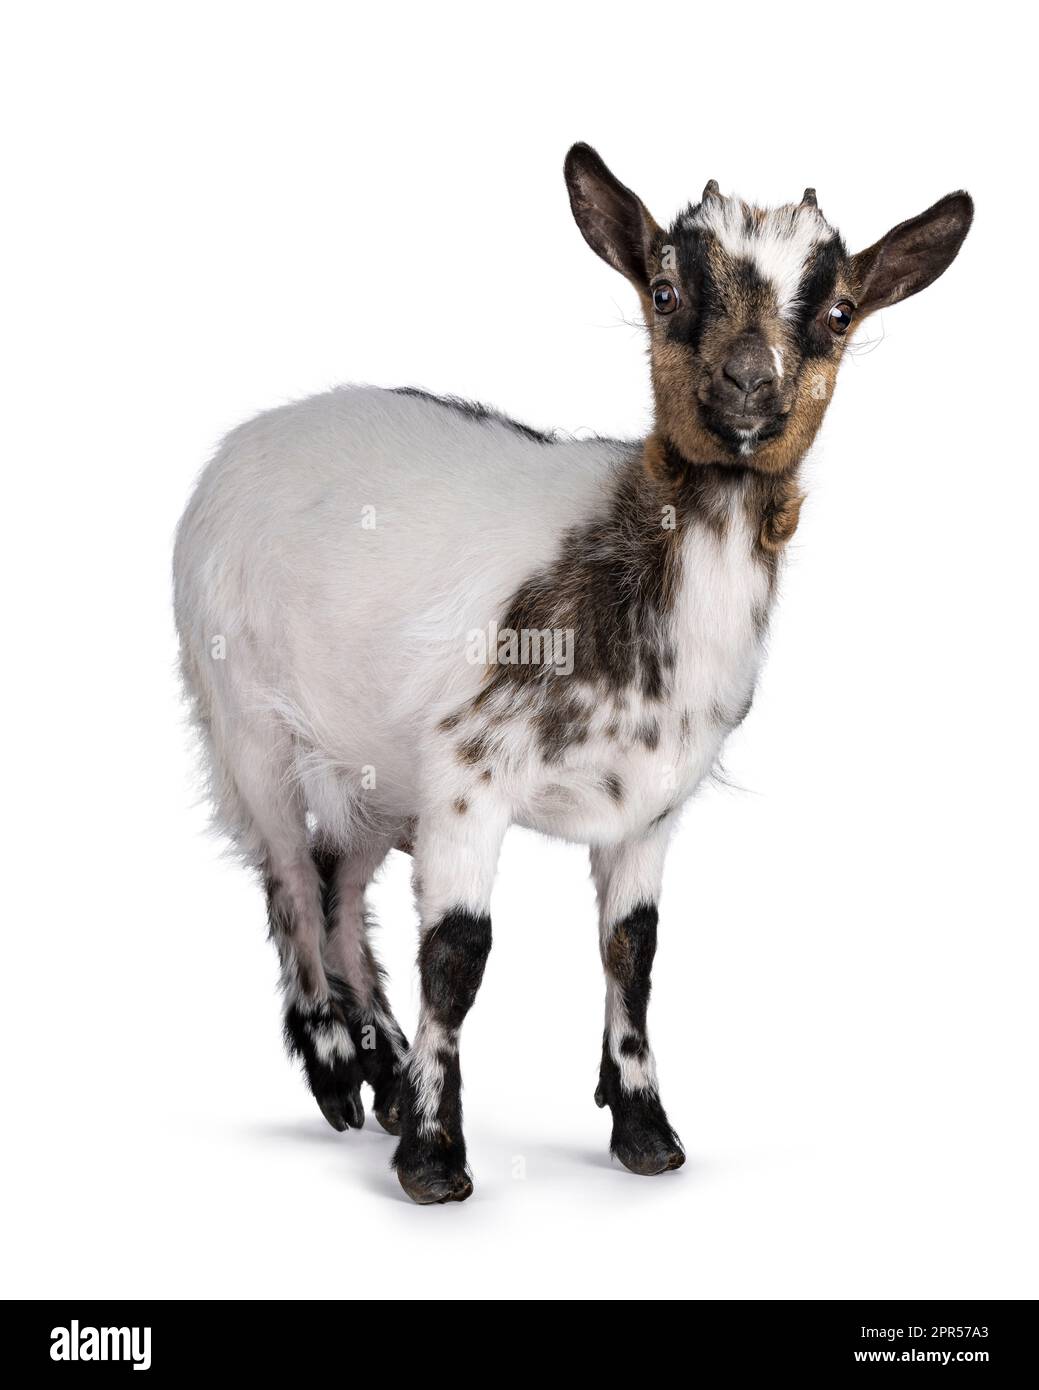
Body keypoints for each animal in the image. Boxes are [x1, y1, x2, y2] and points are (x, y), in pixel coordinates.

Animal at [173, 144, 972, 1203]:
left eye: (839, 310)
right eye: (664, 290)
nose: (748, 383)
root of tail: (244, 441)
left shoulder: (648, 803)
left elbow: (632, 951)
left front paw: (642, 1128)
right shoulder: (469, 776)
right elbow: (458, 955)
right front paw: (435, 1157)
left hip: (372, 763)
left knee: (339, 881)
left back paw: (379, 1062)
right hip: (242, 716)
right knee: (289, 878)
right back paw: (338, 1064)